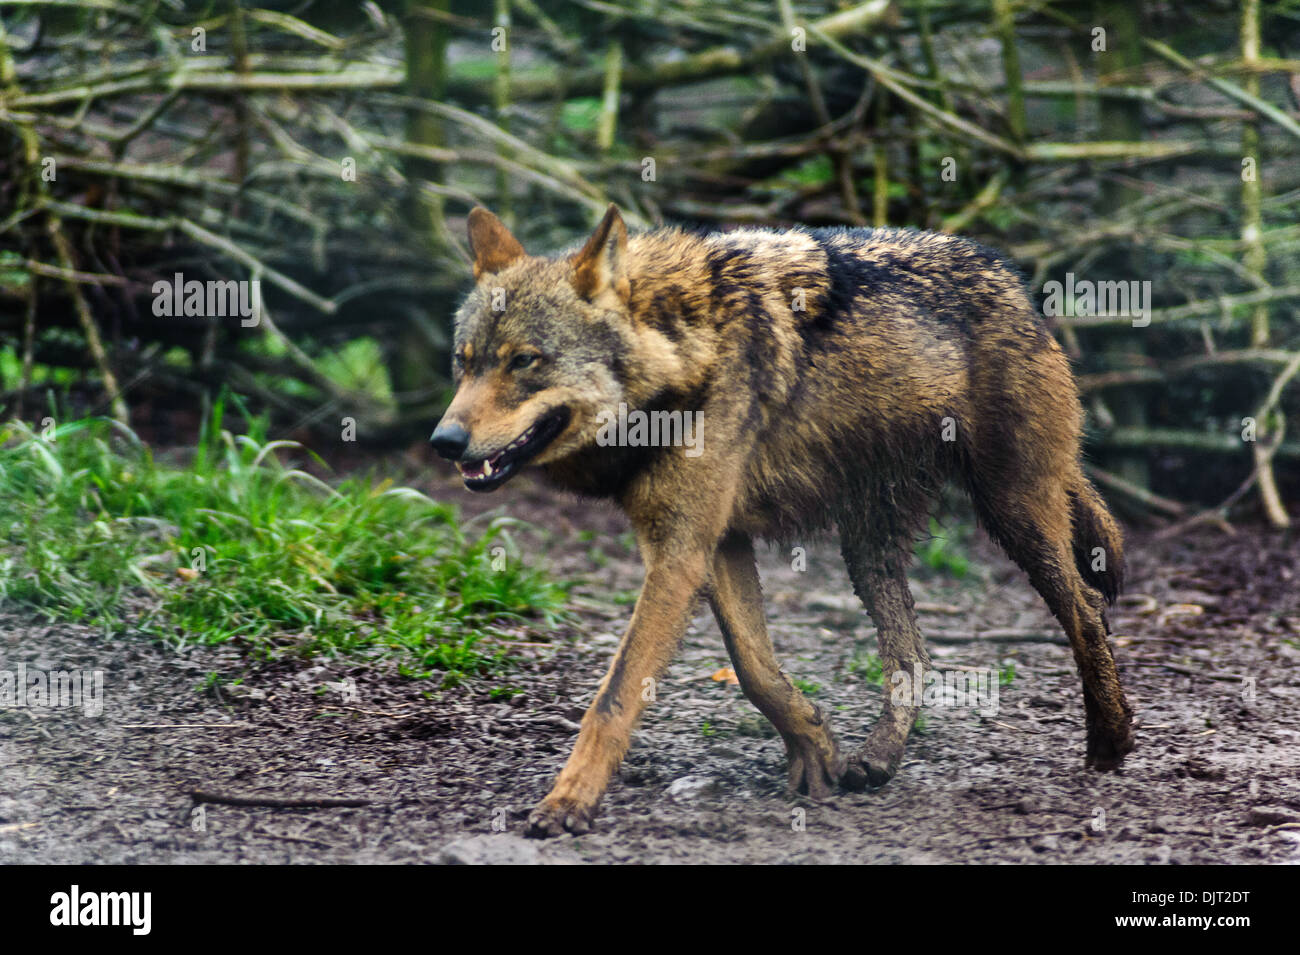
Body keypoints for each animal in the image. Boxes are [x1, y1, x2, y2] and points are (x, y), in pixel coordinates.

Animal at [431, 204, 1135, 837]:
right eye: (466, 362)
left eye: (525, 361)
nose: (444, 440)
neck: (687, 354)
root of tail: (1010, 277)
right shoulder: (716, 544)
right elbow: (755, 669)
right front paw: (817, 750)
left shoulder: (680, 551)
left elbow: (615, 693)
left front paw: (568, 803)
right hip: (868, 549)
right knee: (913, 652)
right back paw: (878, 759)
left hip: (1014, 514)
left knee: (1085, 611)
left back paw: (1111, 740)